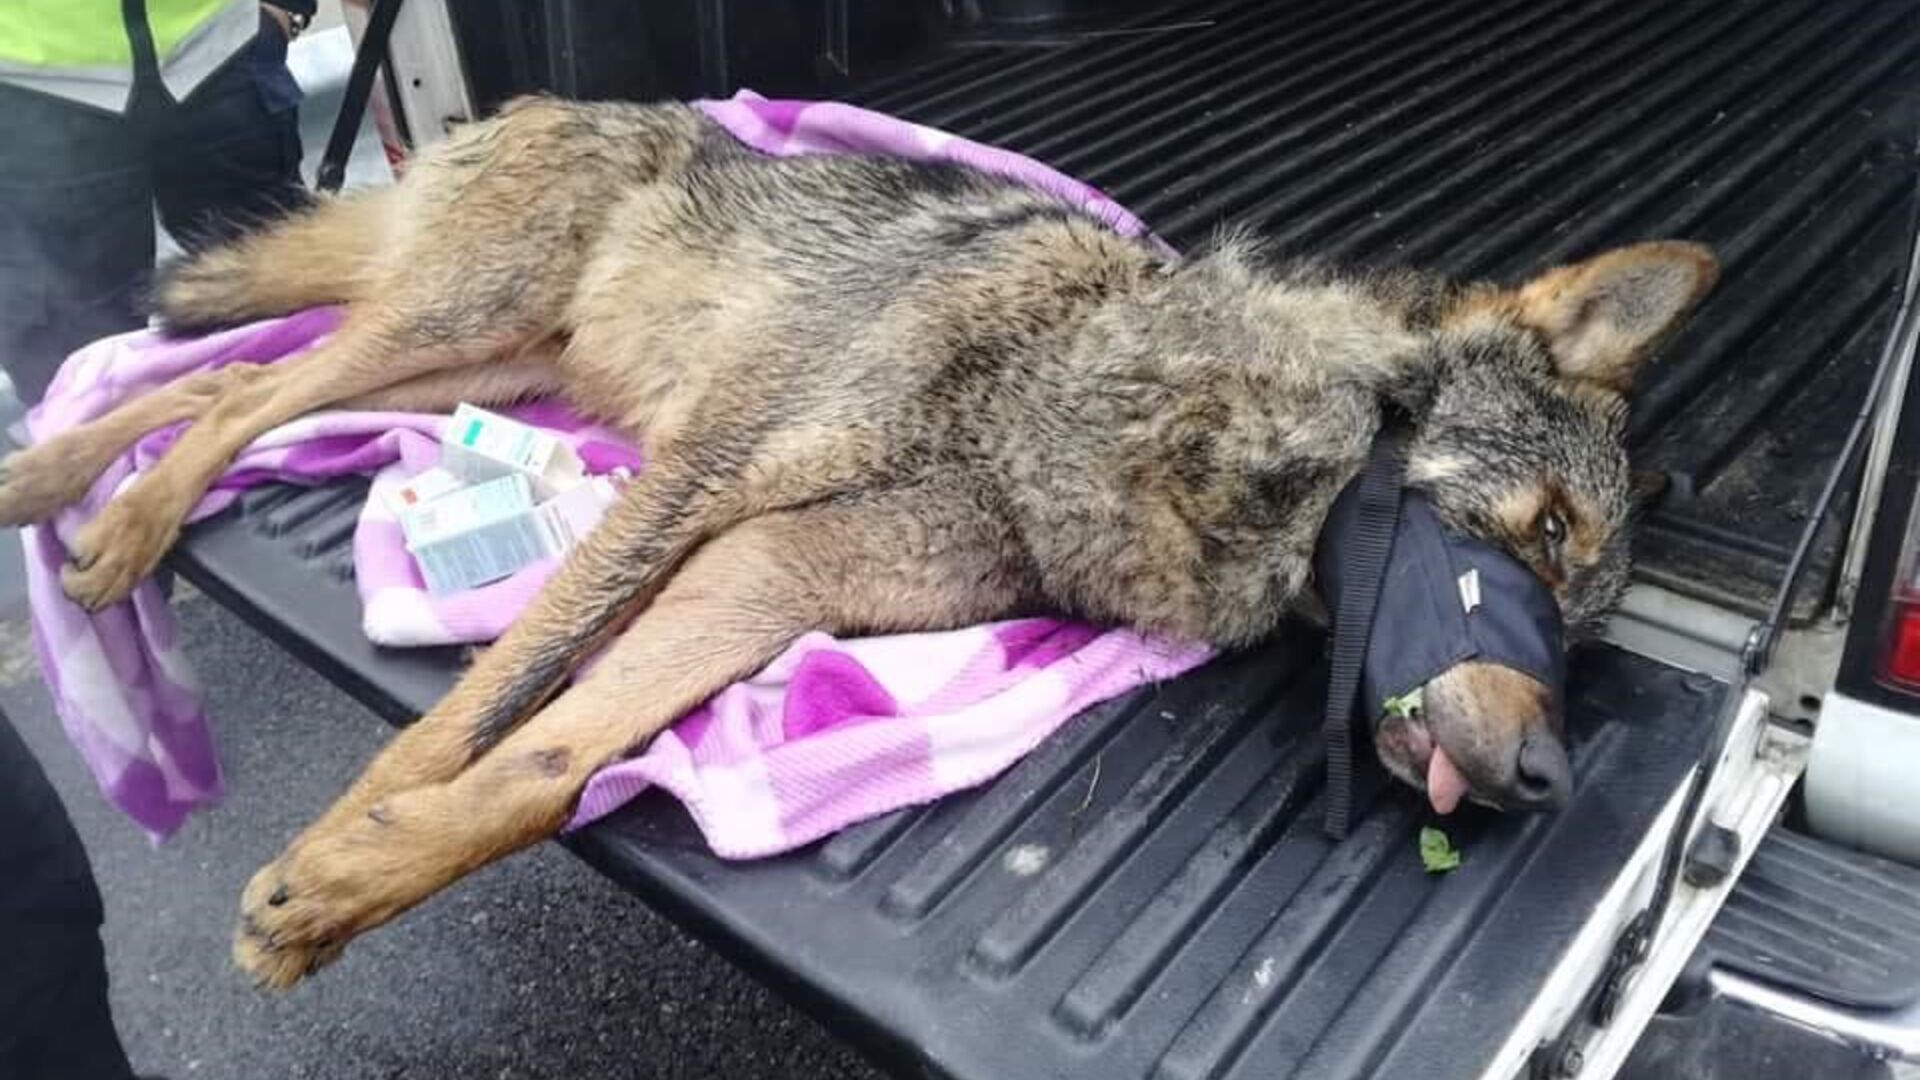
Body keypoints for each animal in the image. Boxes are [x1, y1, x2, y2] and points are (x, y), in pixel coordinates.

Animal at [0, 97, 1717, 988]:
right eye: (1543, 535)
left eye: (1588, 629)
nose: (1553, 779)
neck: (1144, 414)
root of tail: (541, 104)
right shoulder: (698, 483)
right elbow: (477, 710)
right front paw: (329, 864)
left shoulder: (767, 568)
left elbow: (550, 759)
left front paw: (368, 872)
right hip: (461, 330)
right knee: (251, 382)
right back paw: (101, 514)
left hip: (482, 369)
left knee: (230, 380)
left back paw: (70, 489)